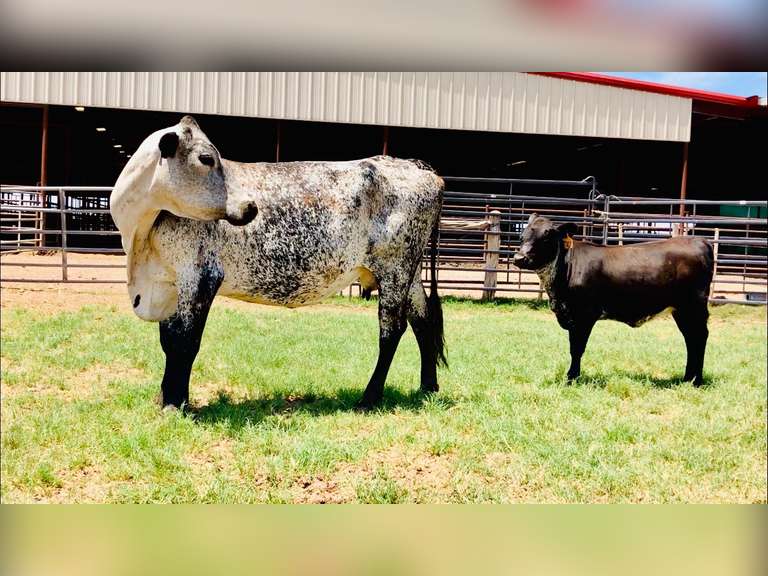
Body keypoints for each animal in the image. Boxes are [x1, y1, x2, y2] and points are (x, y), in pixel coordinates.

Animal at [111, 116, 446, 410]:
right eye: (206, 158)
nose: (250, 206)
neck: (140, 236)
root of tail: (417, 167)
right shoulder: (167, 283)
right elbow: (169, 341)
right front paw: (165, 396)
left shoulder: (200, 276)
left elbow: (185, 341)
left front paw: (176, 403)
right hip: (409, 272)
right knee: (423, 319)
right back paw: (428, 387)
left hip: (395, 269)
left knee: (391, 330)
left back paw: (370, 397)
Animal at [512, 213, 714, 386]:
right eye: (522, 236)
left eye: (547, 237)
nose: (519, 257)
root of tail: (699, 241)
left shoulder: (584, 315)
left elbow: (576, 348)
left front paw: (571, 378)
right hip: (681, 310)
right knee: (690, 338)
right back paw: (687, 378)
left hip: (694, 306)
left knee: (699, 337)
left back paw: (696, 381)